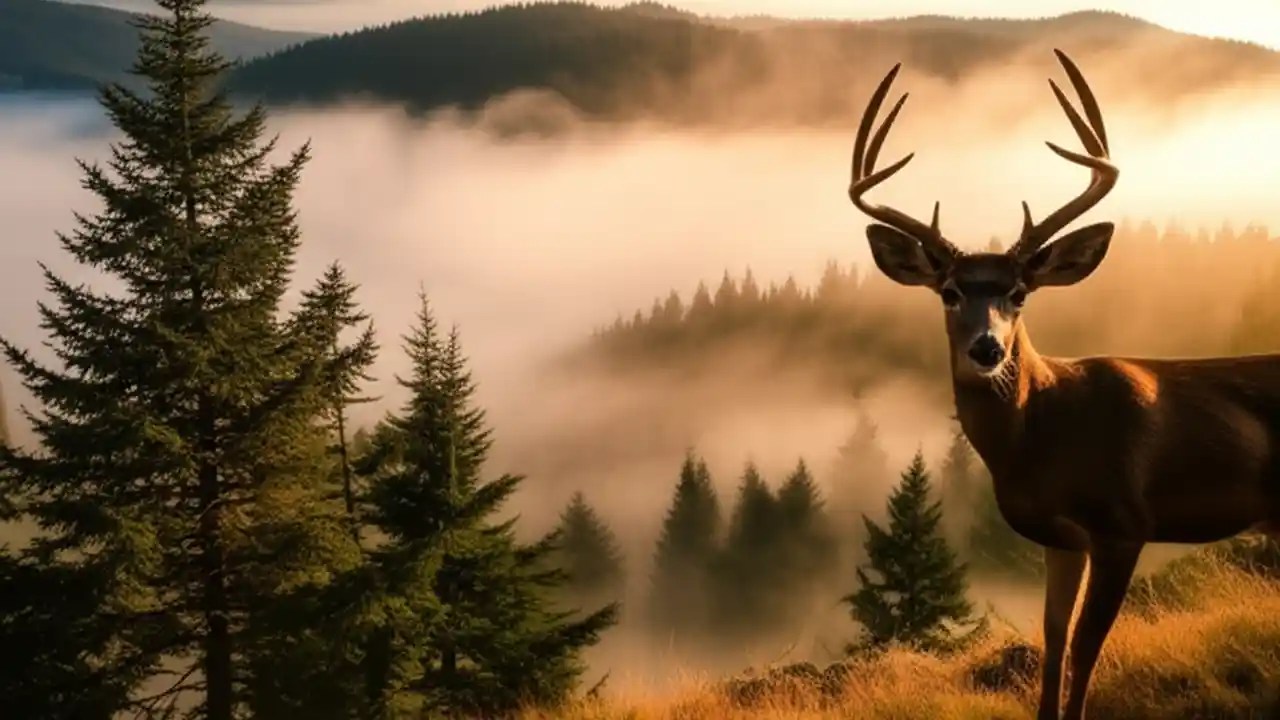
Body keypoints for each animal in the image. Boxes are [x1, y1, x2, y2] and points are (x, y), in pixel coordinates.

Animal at [846, 49, 1280, 720]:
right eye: (949, 292)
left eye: (1020, 293)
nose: (987, 348)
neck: (1044, 437)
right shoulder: (1059, 537)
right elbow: (1052, 640)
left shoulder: (1122, 524)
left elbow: (1085, 646)